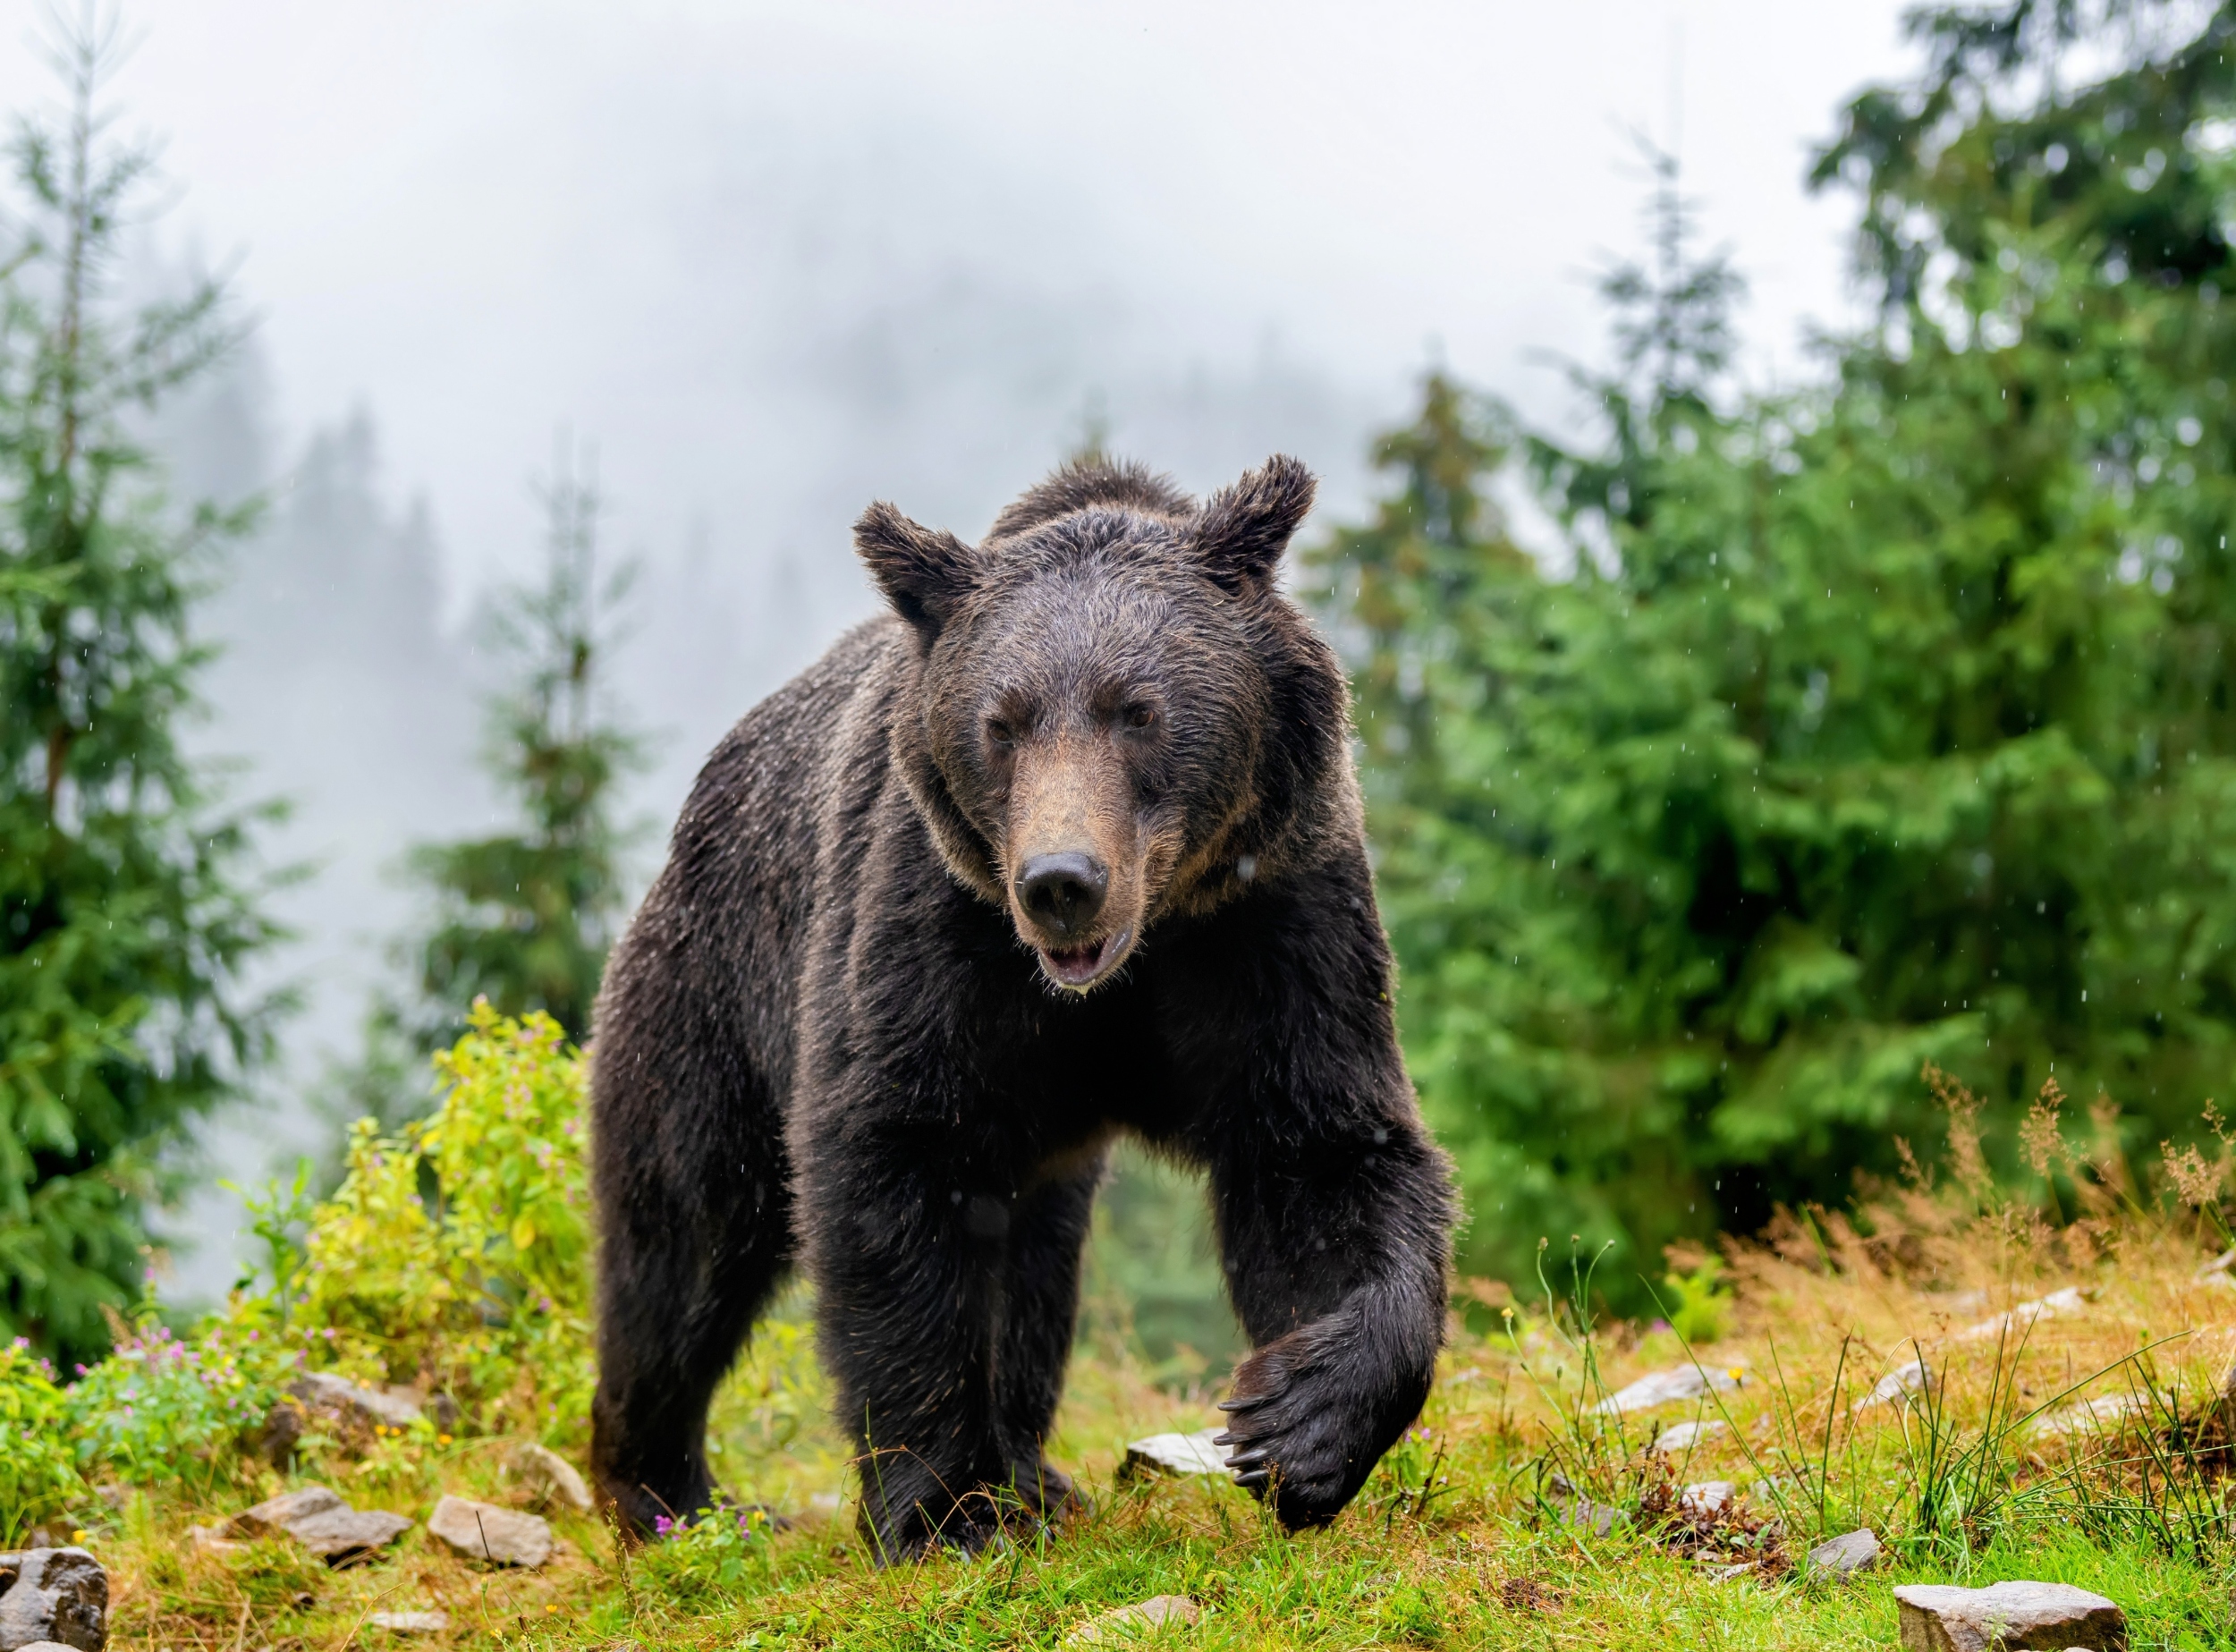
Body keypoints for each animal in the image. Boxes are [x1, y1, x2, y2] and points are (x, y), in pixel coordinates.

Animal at [587, 454, 1455, 1560]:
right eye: (1002, 722)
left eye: (1138, 708)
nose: (1060, 881)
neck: (1123, 966)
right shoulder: (933, 936)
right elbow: (897, 1161)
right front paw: (942, 1510)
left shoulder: (1270, 927)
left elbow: (1320, 1156)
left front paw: (1299, 1427)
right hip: (714, 993)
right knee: (685, 1240)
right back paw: (674, 1492)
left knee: (1035, 1266)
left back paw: (1036, 1475)